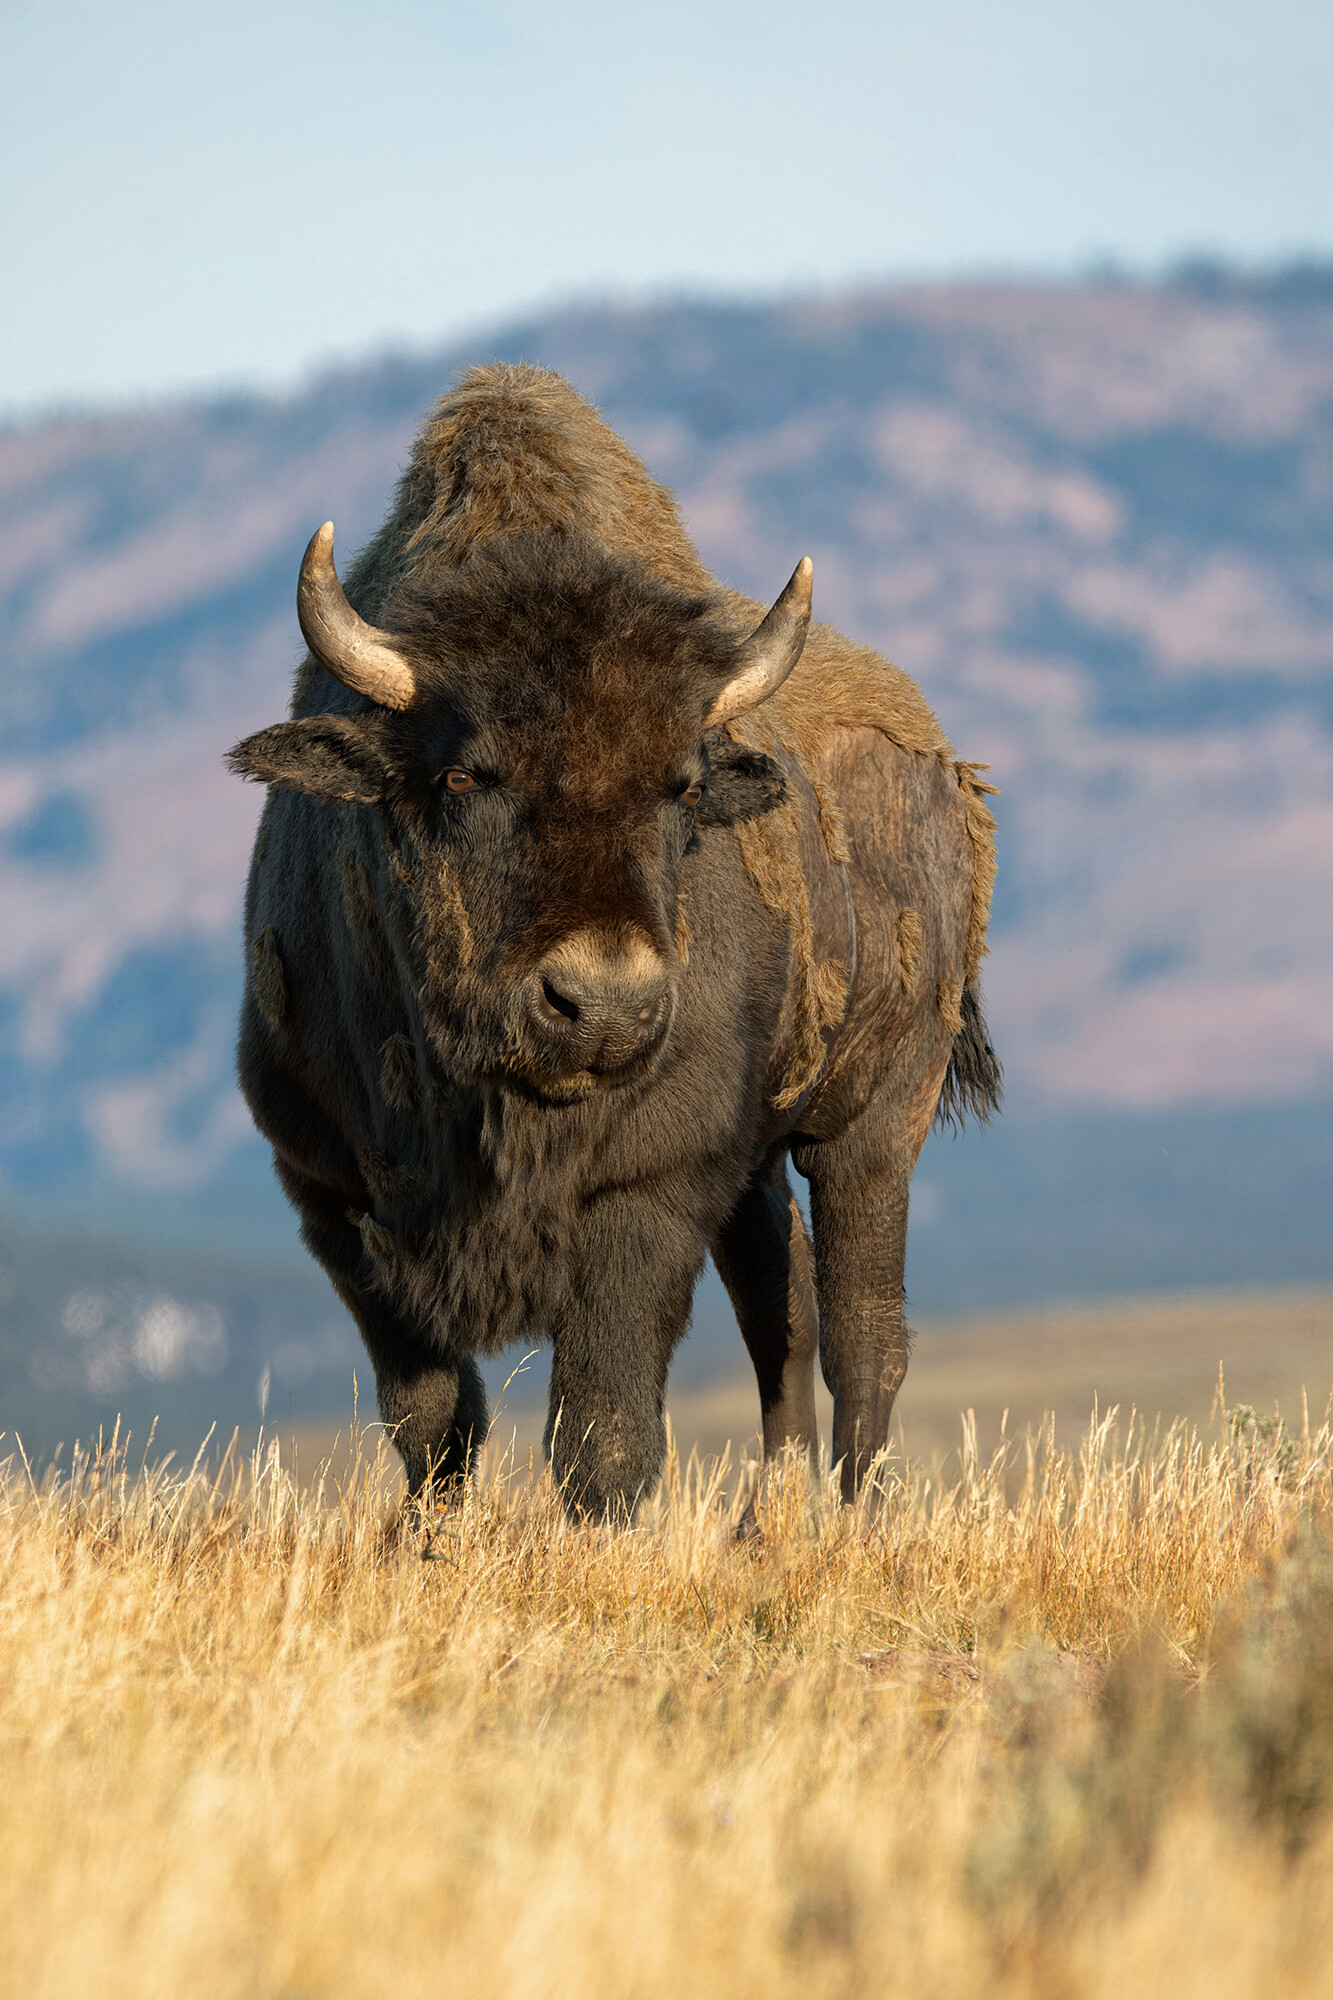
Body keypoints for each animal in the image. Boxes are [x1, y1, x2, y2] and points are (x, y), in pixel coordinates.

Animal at [228, 364, 999, 1515]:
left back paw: (853, 1523)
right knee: (784, 1311)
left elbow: (604, 1432)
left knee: (862, 1335)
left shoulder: (645, 1197)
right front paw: (424, 1540)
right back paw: (763, 1523)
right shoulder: (336, 1195)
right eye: (464, 771)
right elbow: (432, 1424)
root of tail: (948, 774)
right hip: (758, 1164)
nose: (603, 1006)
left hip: (870, 1121)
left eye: (681, 786)